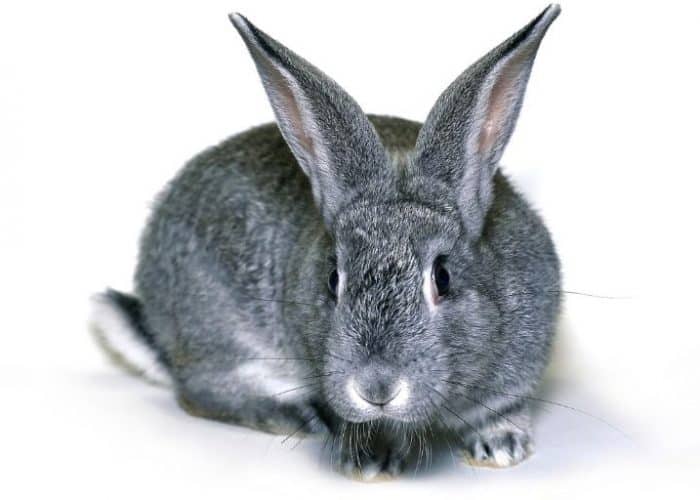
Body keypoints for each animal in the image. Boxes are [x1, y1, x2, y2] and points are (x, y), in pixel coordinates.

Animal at [90, 4, 561, 479]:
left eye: (442, 277)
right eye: (333, 279)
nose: (377, 388)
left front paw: (501, 446)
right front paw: (369, 457)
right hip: (217, 329)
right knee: (198, 392)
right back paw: (294, 415)